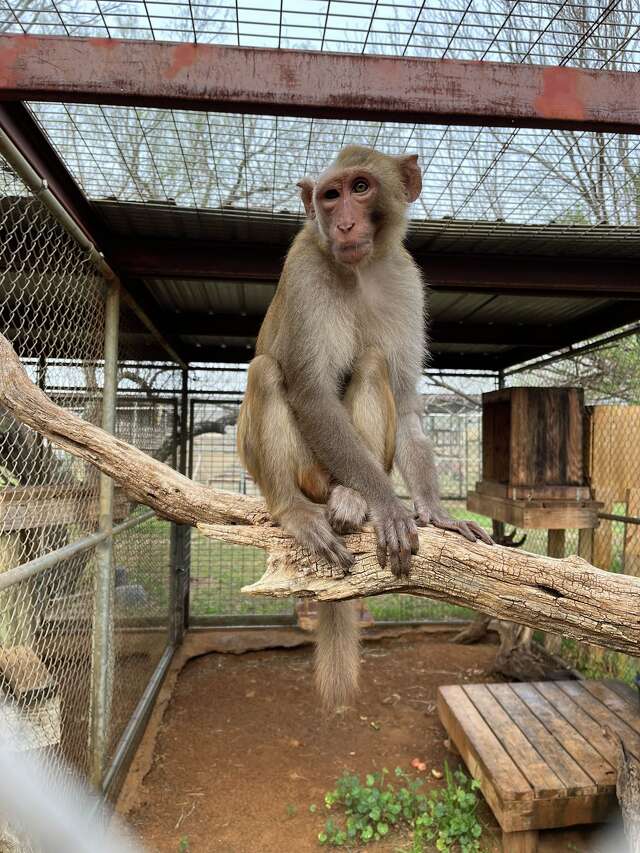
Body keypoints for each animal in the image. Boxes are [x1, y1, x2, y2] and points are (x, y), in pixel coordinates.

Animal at [237, 145, 492, 708]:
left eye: (360, 188)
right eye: (330, 195)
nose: (344, 222)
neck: (360, 270)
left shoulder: (405, 279)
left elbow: (406, 400)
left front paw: (432, 510)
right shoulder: (305, 267)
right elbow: (310, 391)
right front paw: (388, 505)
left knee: (373, 363)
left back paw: (351, 497)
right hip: (301, 467)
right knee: (267, 372)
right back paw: (300, 508)